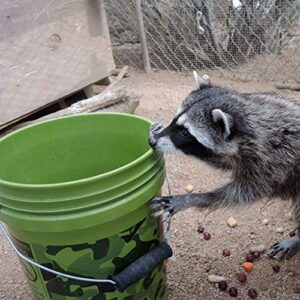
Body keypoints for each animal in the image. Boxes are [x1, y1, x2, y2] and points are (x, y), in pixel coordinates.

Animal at [149, 72, 300, 260]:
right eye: (174, 120)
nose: (152, 142)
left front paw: (194, 198)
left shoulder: (275, 161)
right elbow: (224, 162)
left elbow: (242, 193)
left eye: (185, 132)